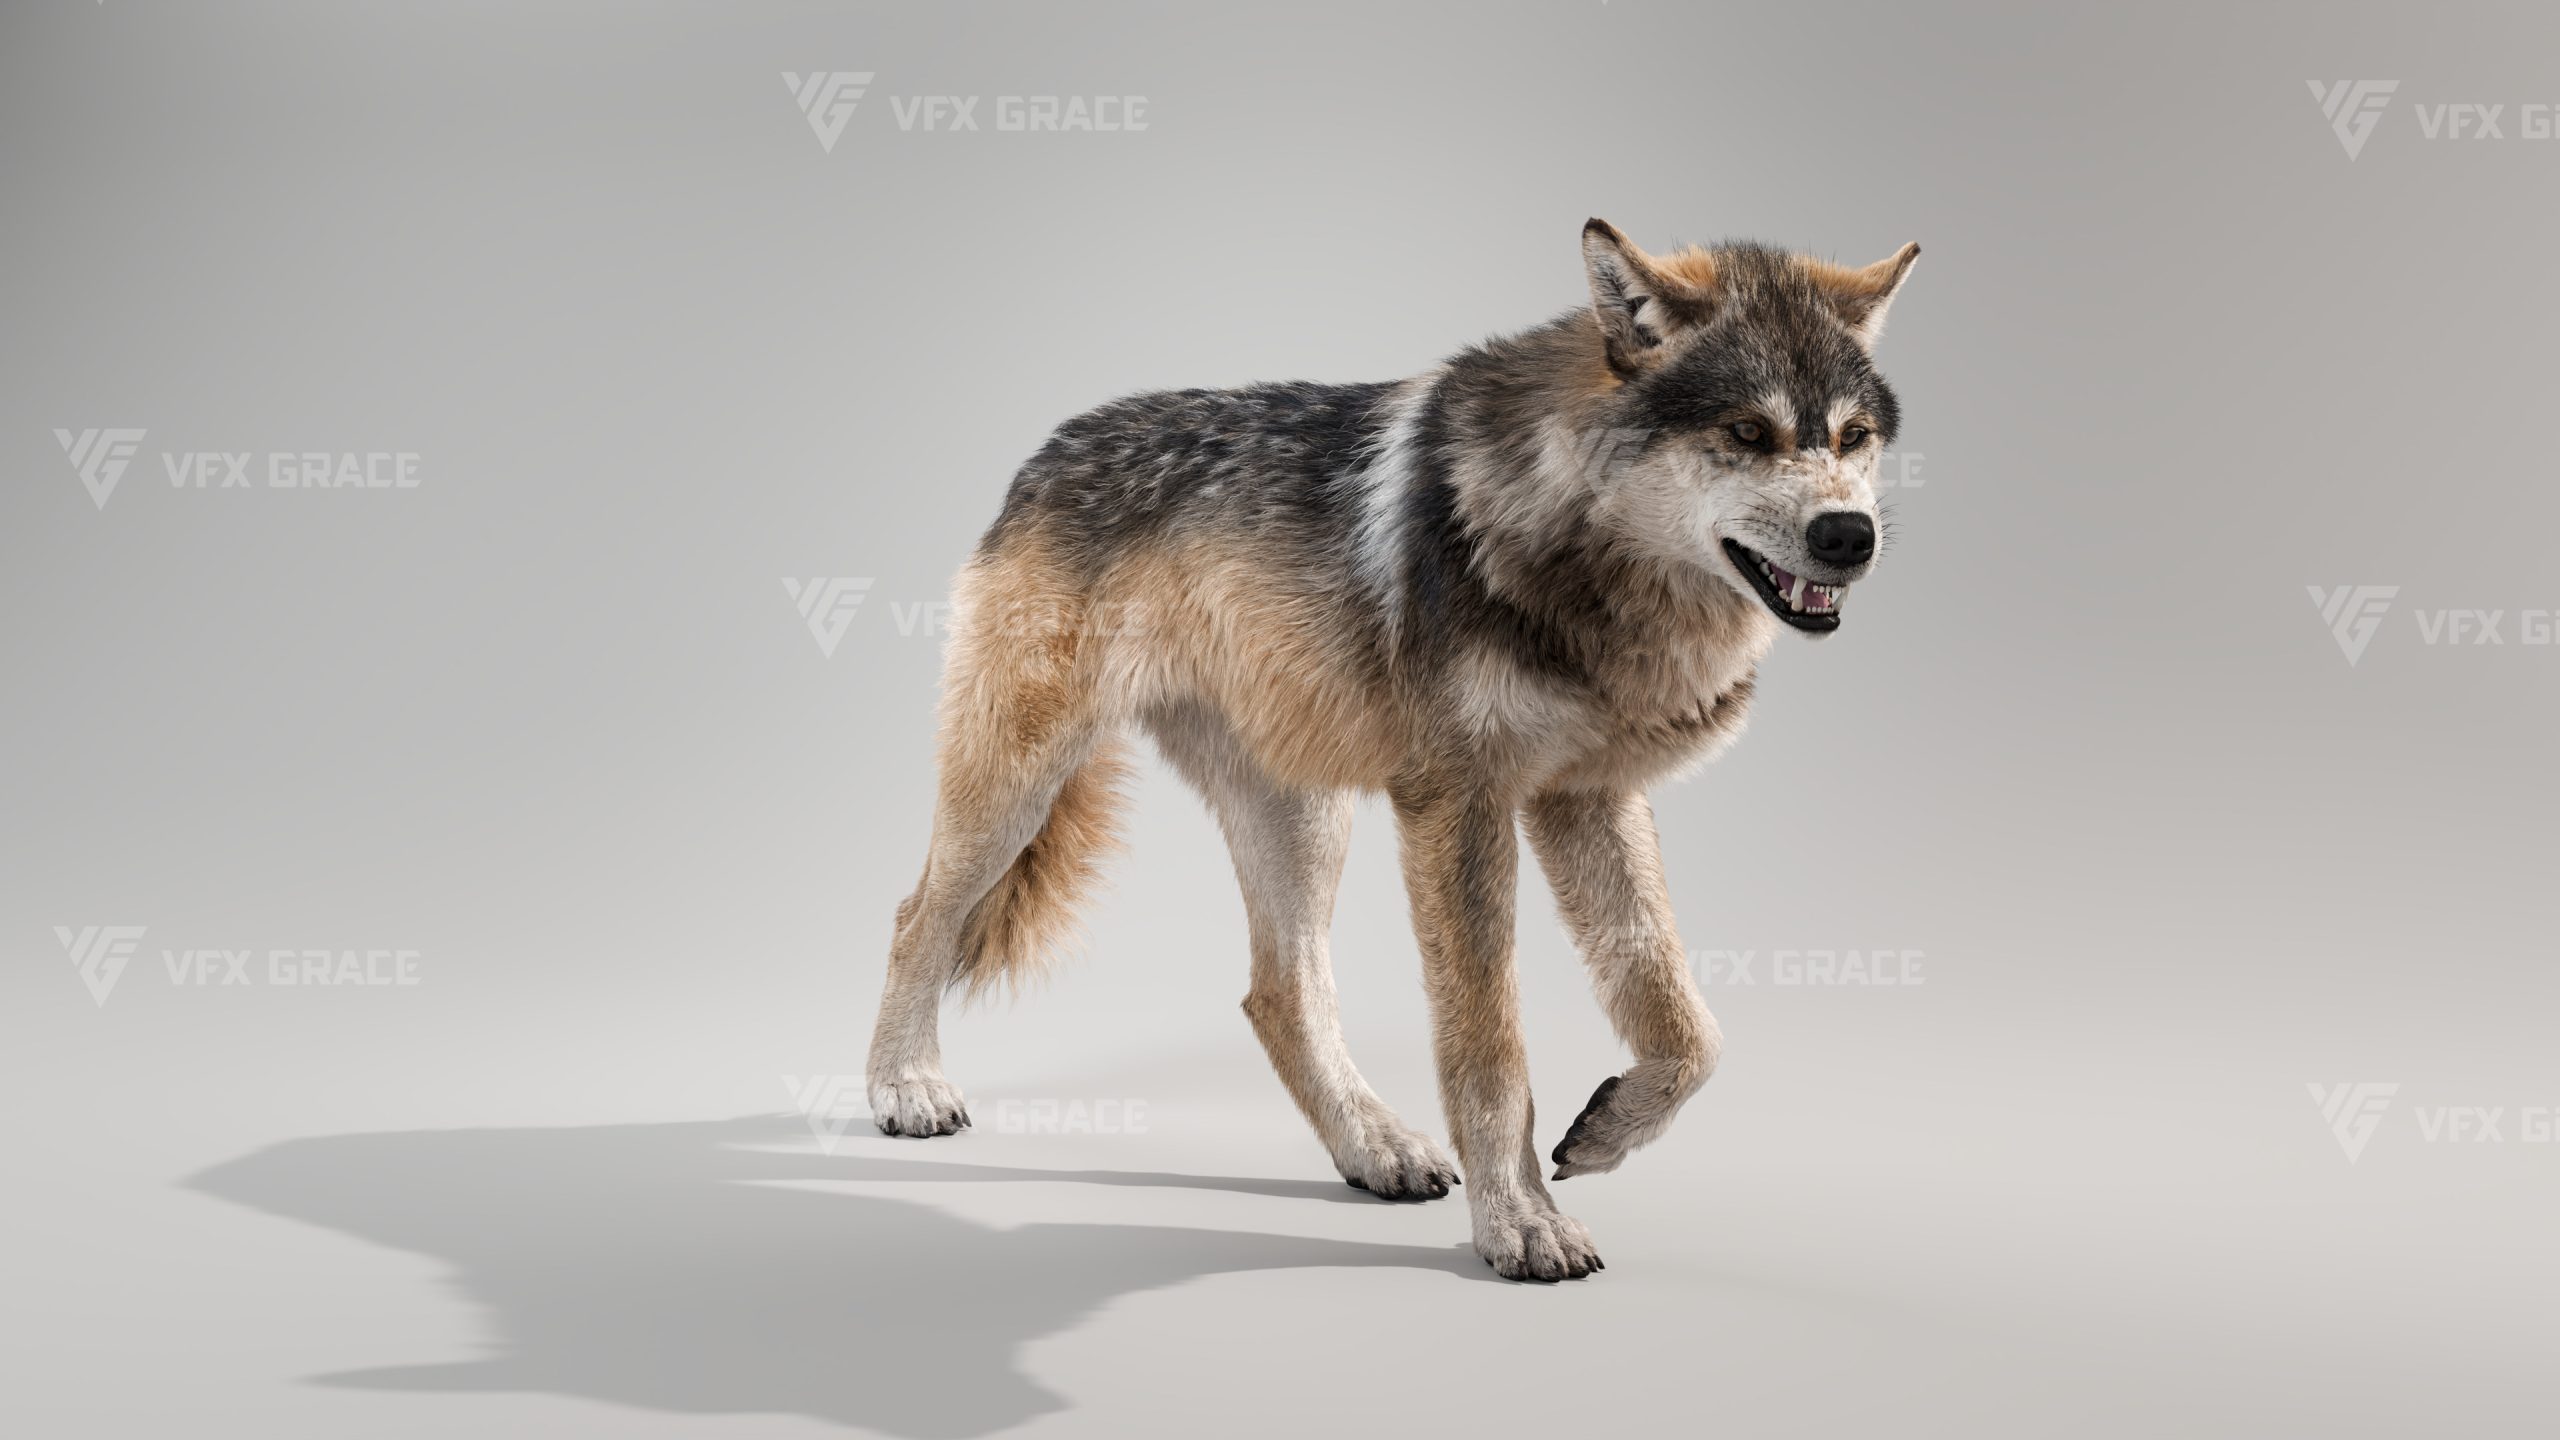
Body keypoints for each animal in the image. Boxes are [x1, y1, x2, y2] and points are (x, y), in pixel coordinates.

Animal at [865, 220, 1920, 1280]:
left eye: (1851, 439)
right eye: (1747, 434)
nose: (1850, 536)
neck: (1579, 565)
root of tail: (1051, 448)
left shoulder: (1586, 796)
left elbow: (1689, 1026)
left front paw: (1602, 1134)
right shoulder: (1461, 804)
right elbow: (1489, 1045)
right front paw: (1520, 1224)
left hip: (1306, 813)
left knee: (1278, 993)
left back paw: (1374, 1148)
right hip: (1022, 781)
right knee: (918, 916)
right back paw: (904, 1088)